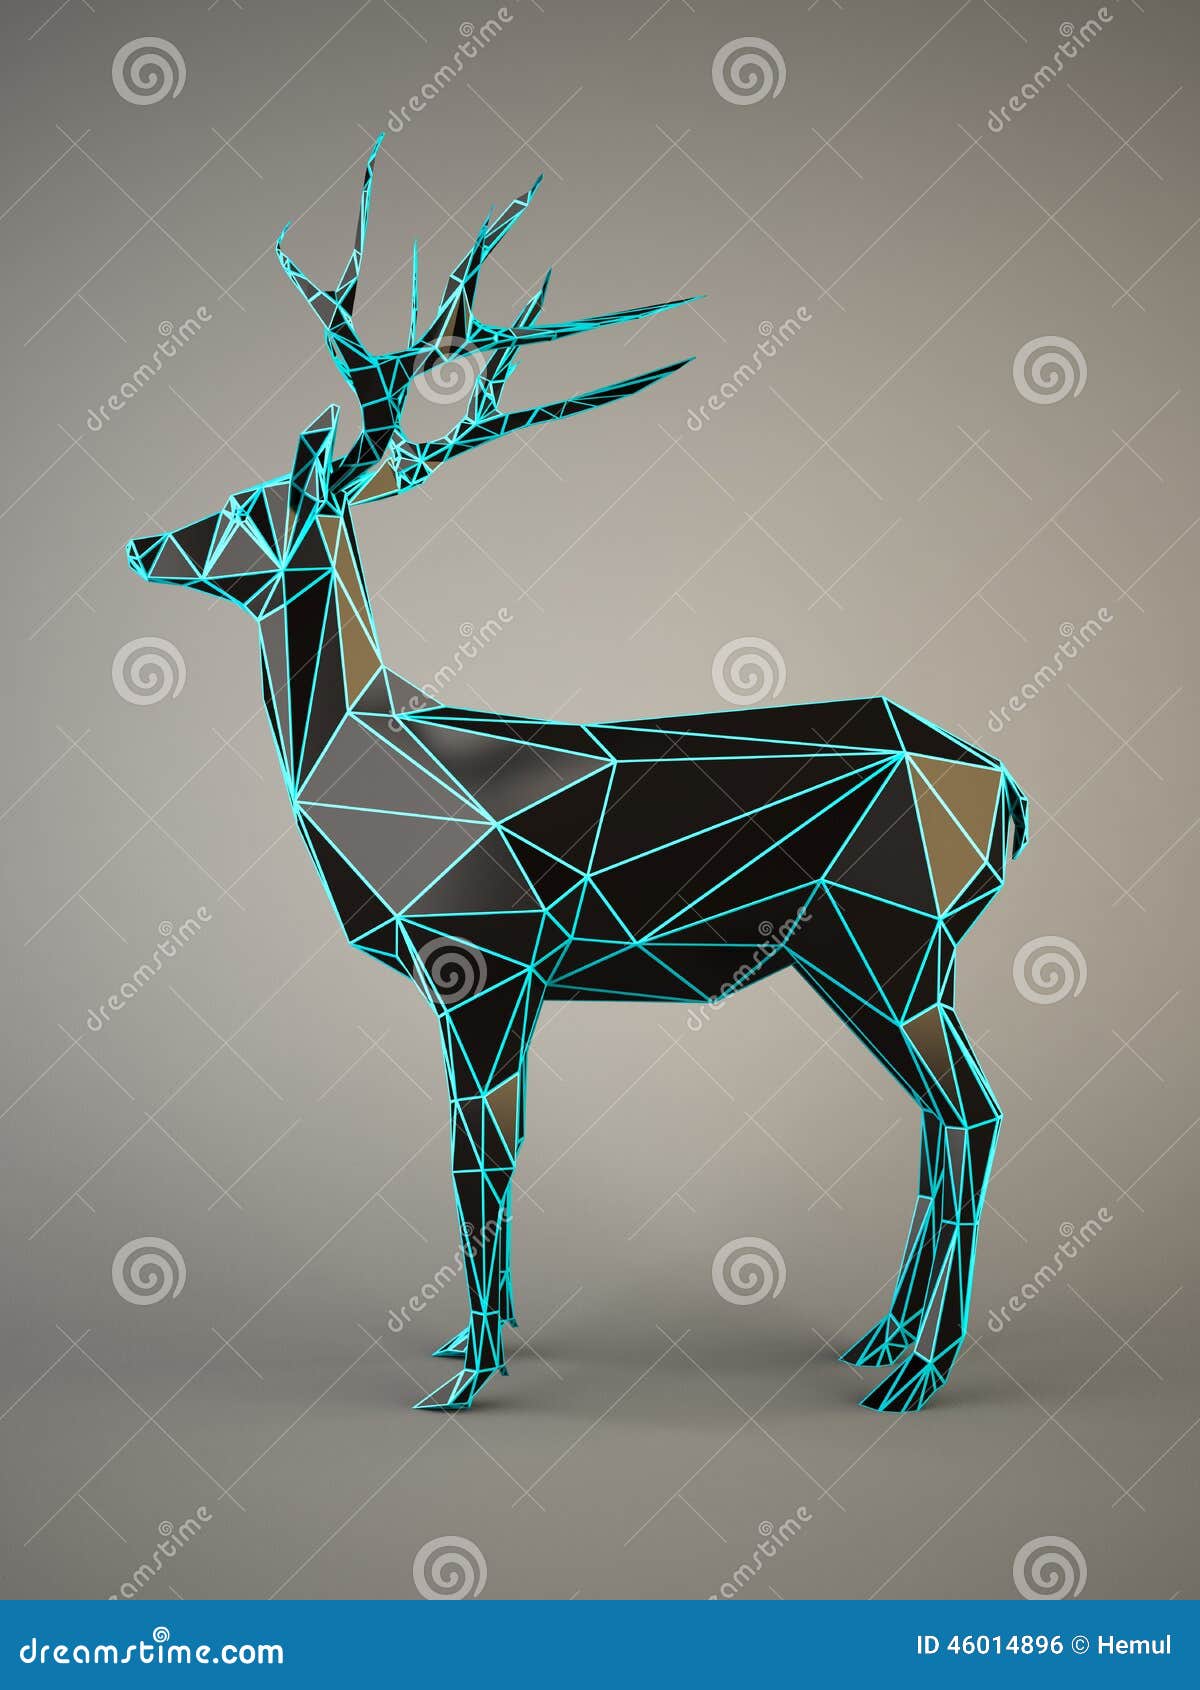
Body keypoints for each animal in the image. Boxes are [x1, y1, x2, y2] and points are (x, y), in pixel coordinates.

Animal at [127, 136, 1030, 1414]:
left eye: (249, 505)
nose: (142, 541)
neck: (378, 758)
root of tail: (1009, 796)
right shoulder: (503, 980)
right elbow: (493, 1154)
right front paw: (479, 1340)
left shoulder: (485, 958)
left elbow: (481, 1155)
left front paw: (470, 1374)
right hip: (868, 955)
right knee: (935, 1121)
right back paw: (880, 1342)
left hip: (895, 933)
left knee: (975, 1112)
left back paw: (918, 1375)